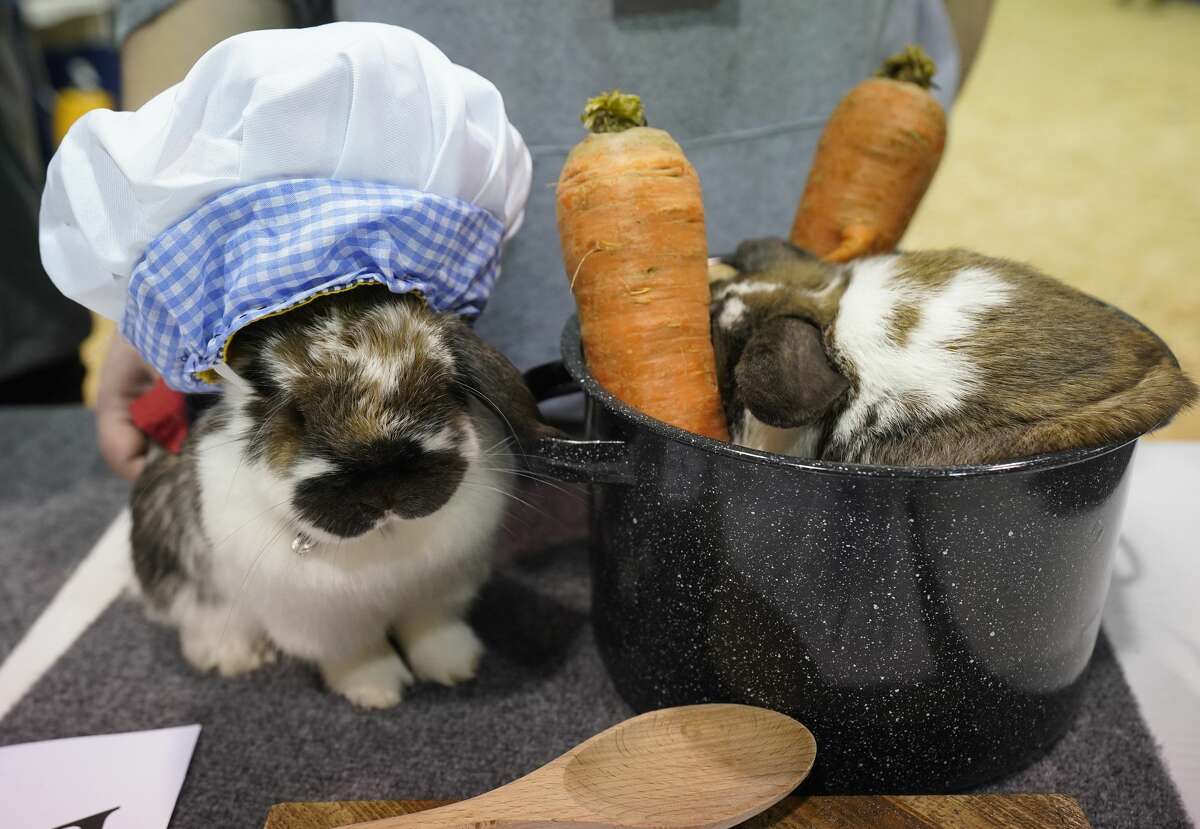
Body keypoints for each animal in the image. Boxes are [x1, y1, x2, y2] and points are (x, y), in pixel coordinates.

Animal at [130, 286, 558, 708]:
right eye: (298, 414)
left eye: (446, 387)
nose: (384, 486)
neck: (387, 537)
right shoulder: (329, 621)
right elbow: (359, 653)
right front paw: (378, 691)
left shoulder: (439, 588)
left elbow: (430, 628)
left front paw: (455, 665)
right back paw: (234, 657)